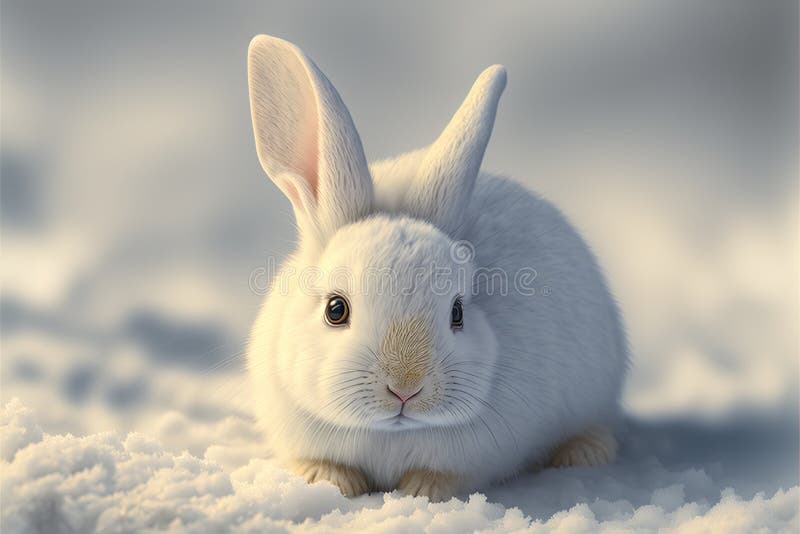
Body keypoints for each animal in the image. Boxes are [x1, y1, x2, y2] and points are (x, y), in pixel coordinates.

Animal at [246, 34, 628, 501]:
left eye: (457, 312)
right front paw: (330, 480)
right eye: (335, 310)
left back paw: (585, 452)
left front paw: (421, 490)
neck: (389, 434)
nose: (405, 386)